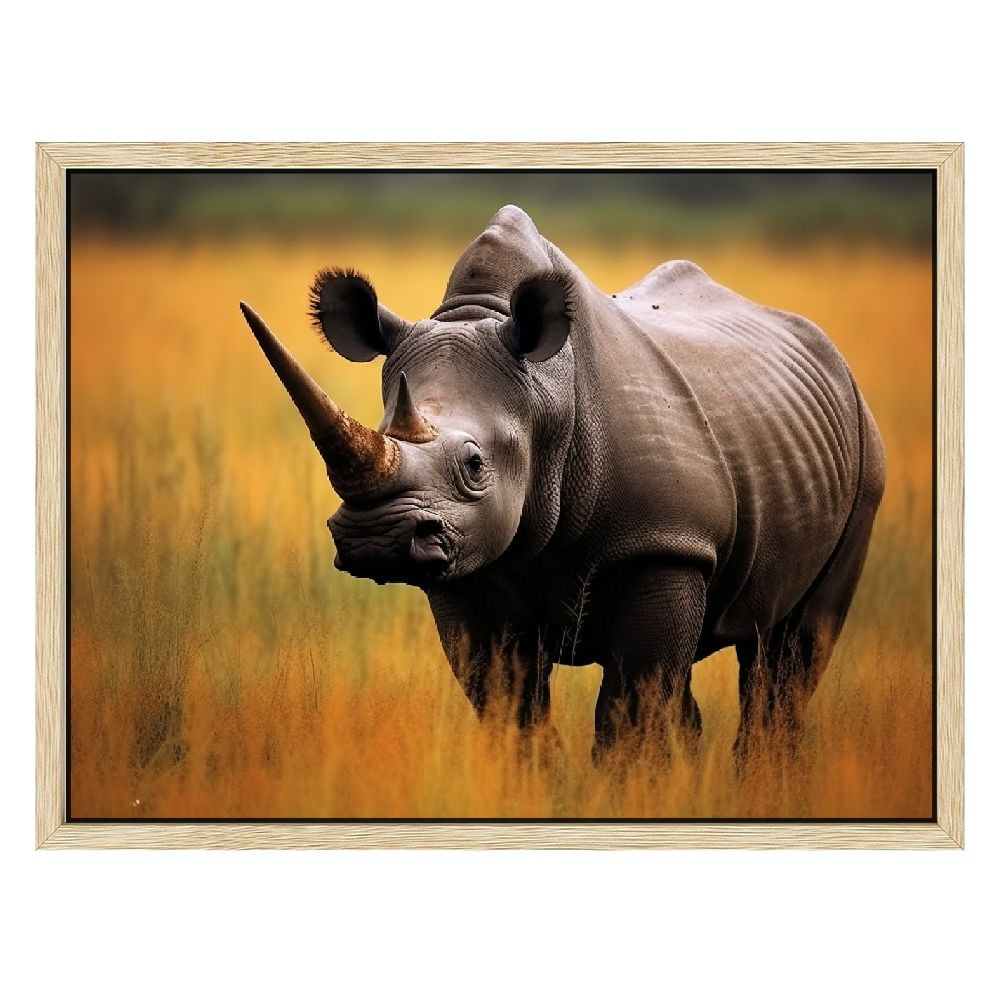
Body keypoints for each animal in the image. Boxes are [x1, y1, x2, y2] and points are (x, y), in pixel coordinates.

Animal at [240, 204, 885, 756]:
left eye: (475, 467)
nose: (377, 541)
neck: (546, 400)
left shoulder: (663, 543)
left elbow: (630, 716)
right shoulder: (465, 572)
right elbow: (511, 711)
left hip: (866, 456)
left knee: (788, 656)